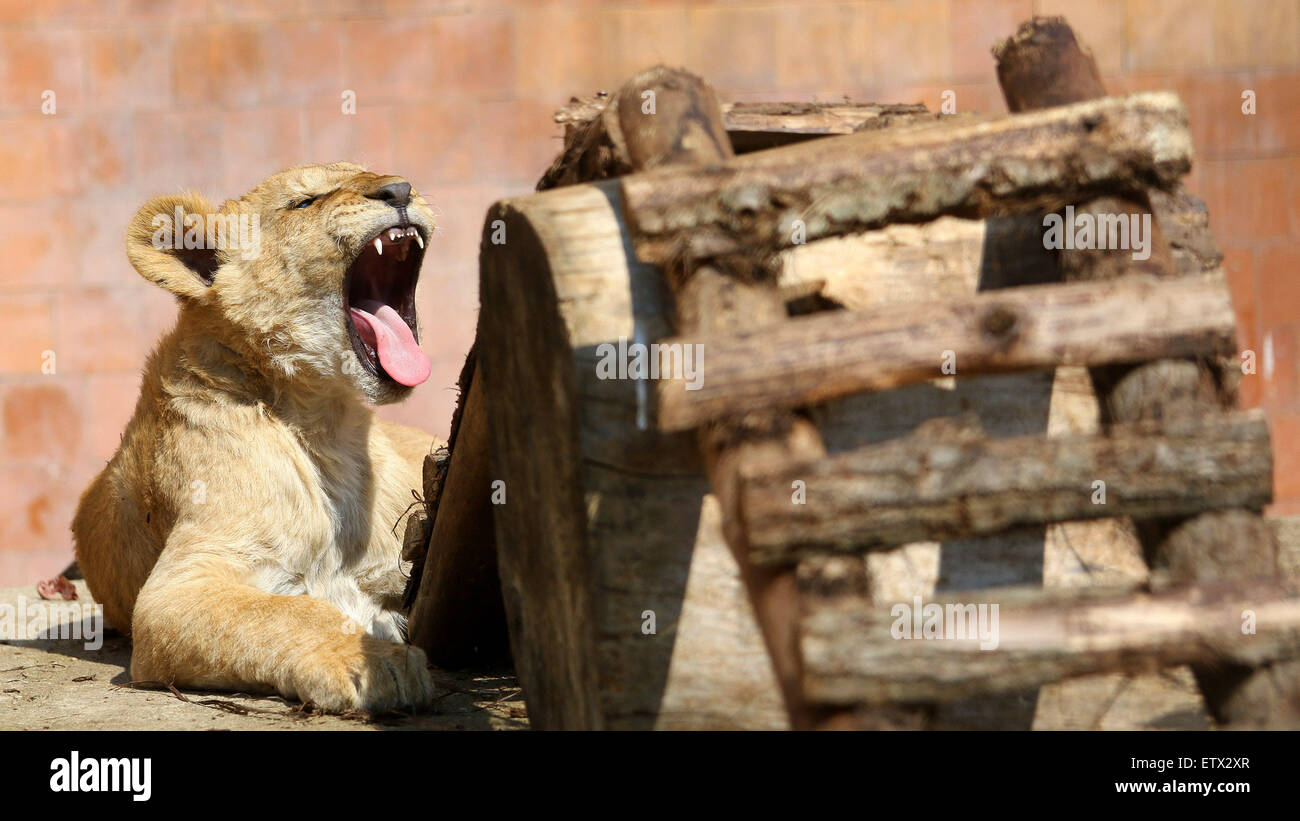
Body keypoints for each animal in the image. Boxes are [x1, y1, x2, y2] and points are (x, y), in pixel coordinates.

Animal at [71, 162, 443, 712]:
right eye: (305, 202)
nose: (400, 190)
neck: (325, 425)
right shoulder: (177, 590)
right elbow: (291, 613)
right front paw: (378, 664)